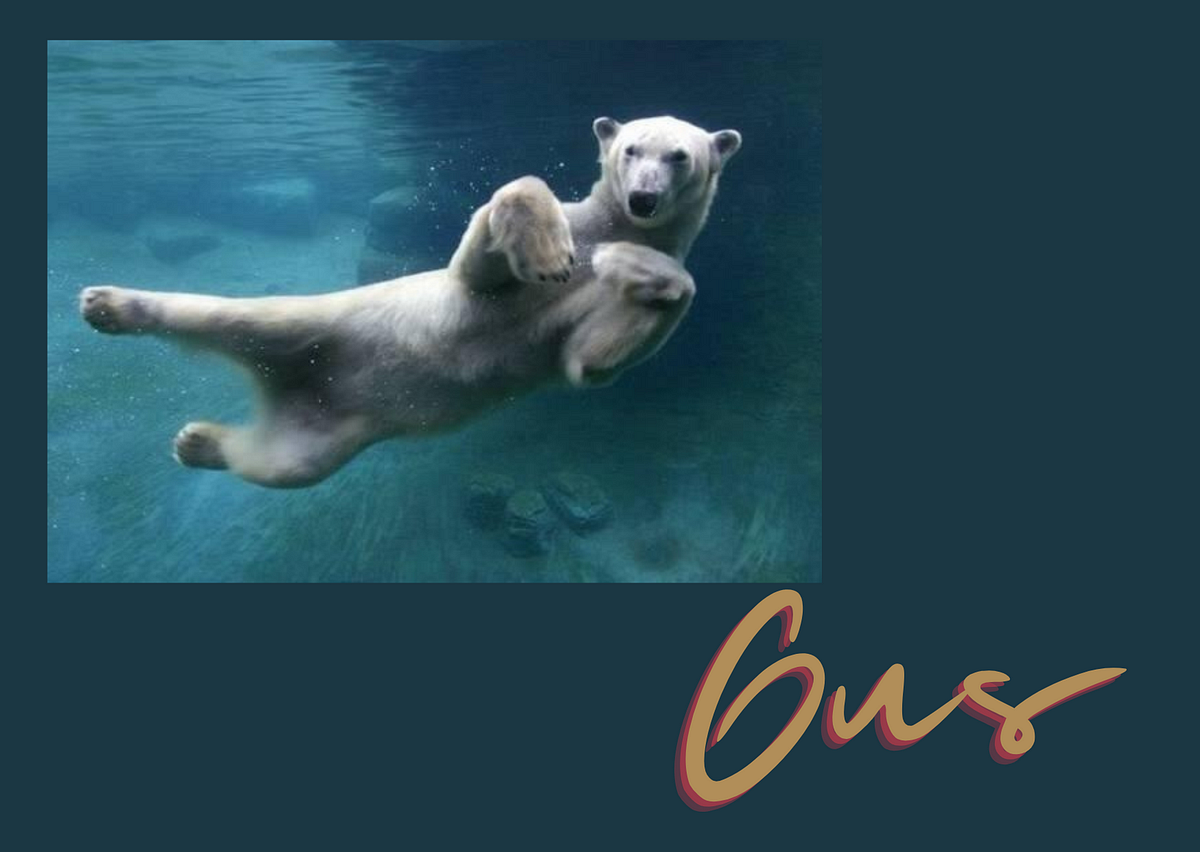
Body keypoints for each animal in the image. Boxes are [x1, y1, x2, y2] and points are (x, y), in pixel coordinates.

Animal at [79, 116, 742, 488]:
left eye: (679, 156)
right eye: (630, 149)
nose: (644, 198)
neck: (612, 223)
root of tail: (294, 385)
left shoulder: (599, 323)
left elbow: (591, 359)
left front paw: (632, 267)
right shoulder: (530, 248)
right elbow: (486, 262)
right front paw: (557, 257)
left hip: (328, 434)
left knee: (285, 466)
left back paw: (199, 443)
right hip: (326, 318)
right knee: (231, 314)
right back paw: (109, 305)